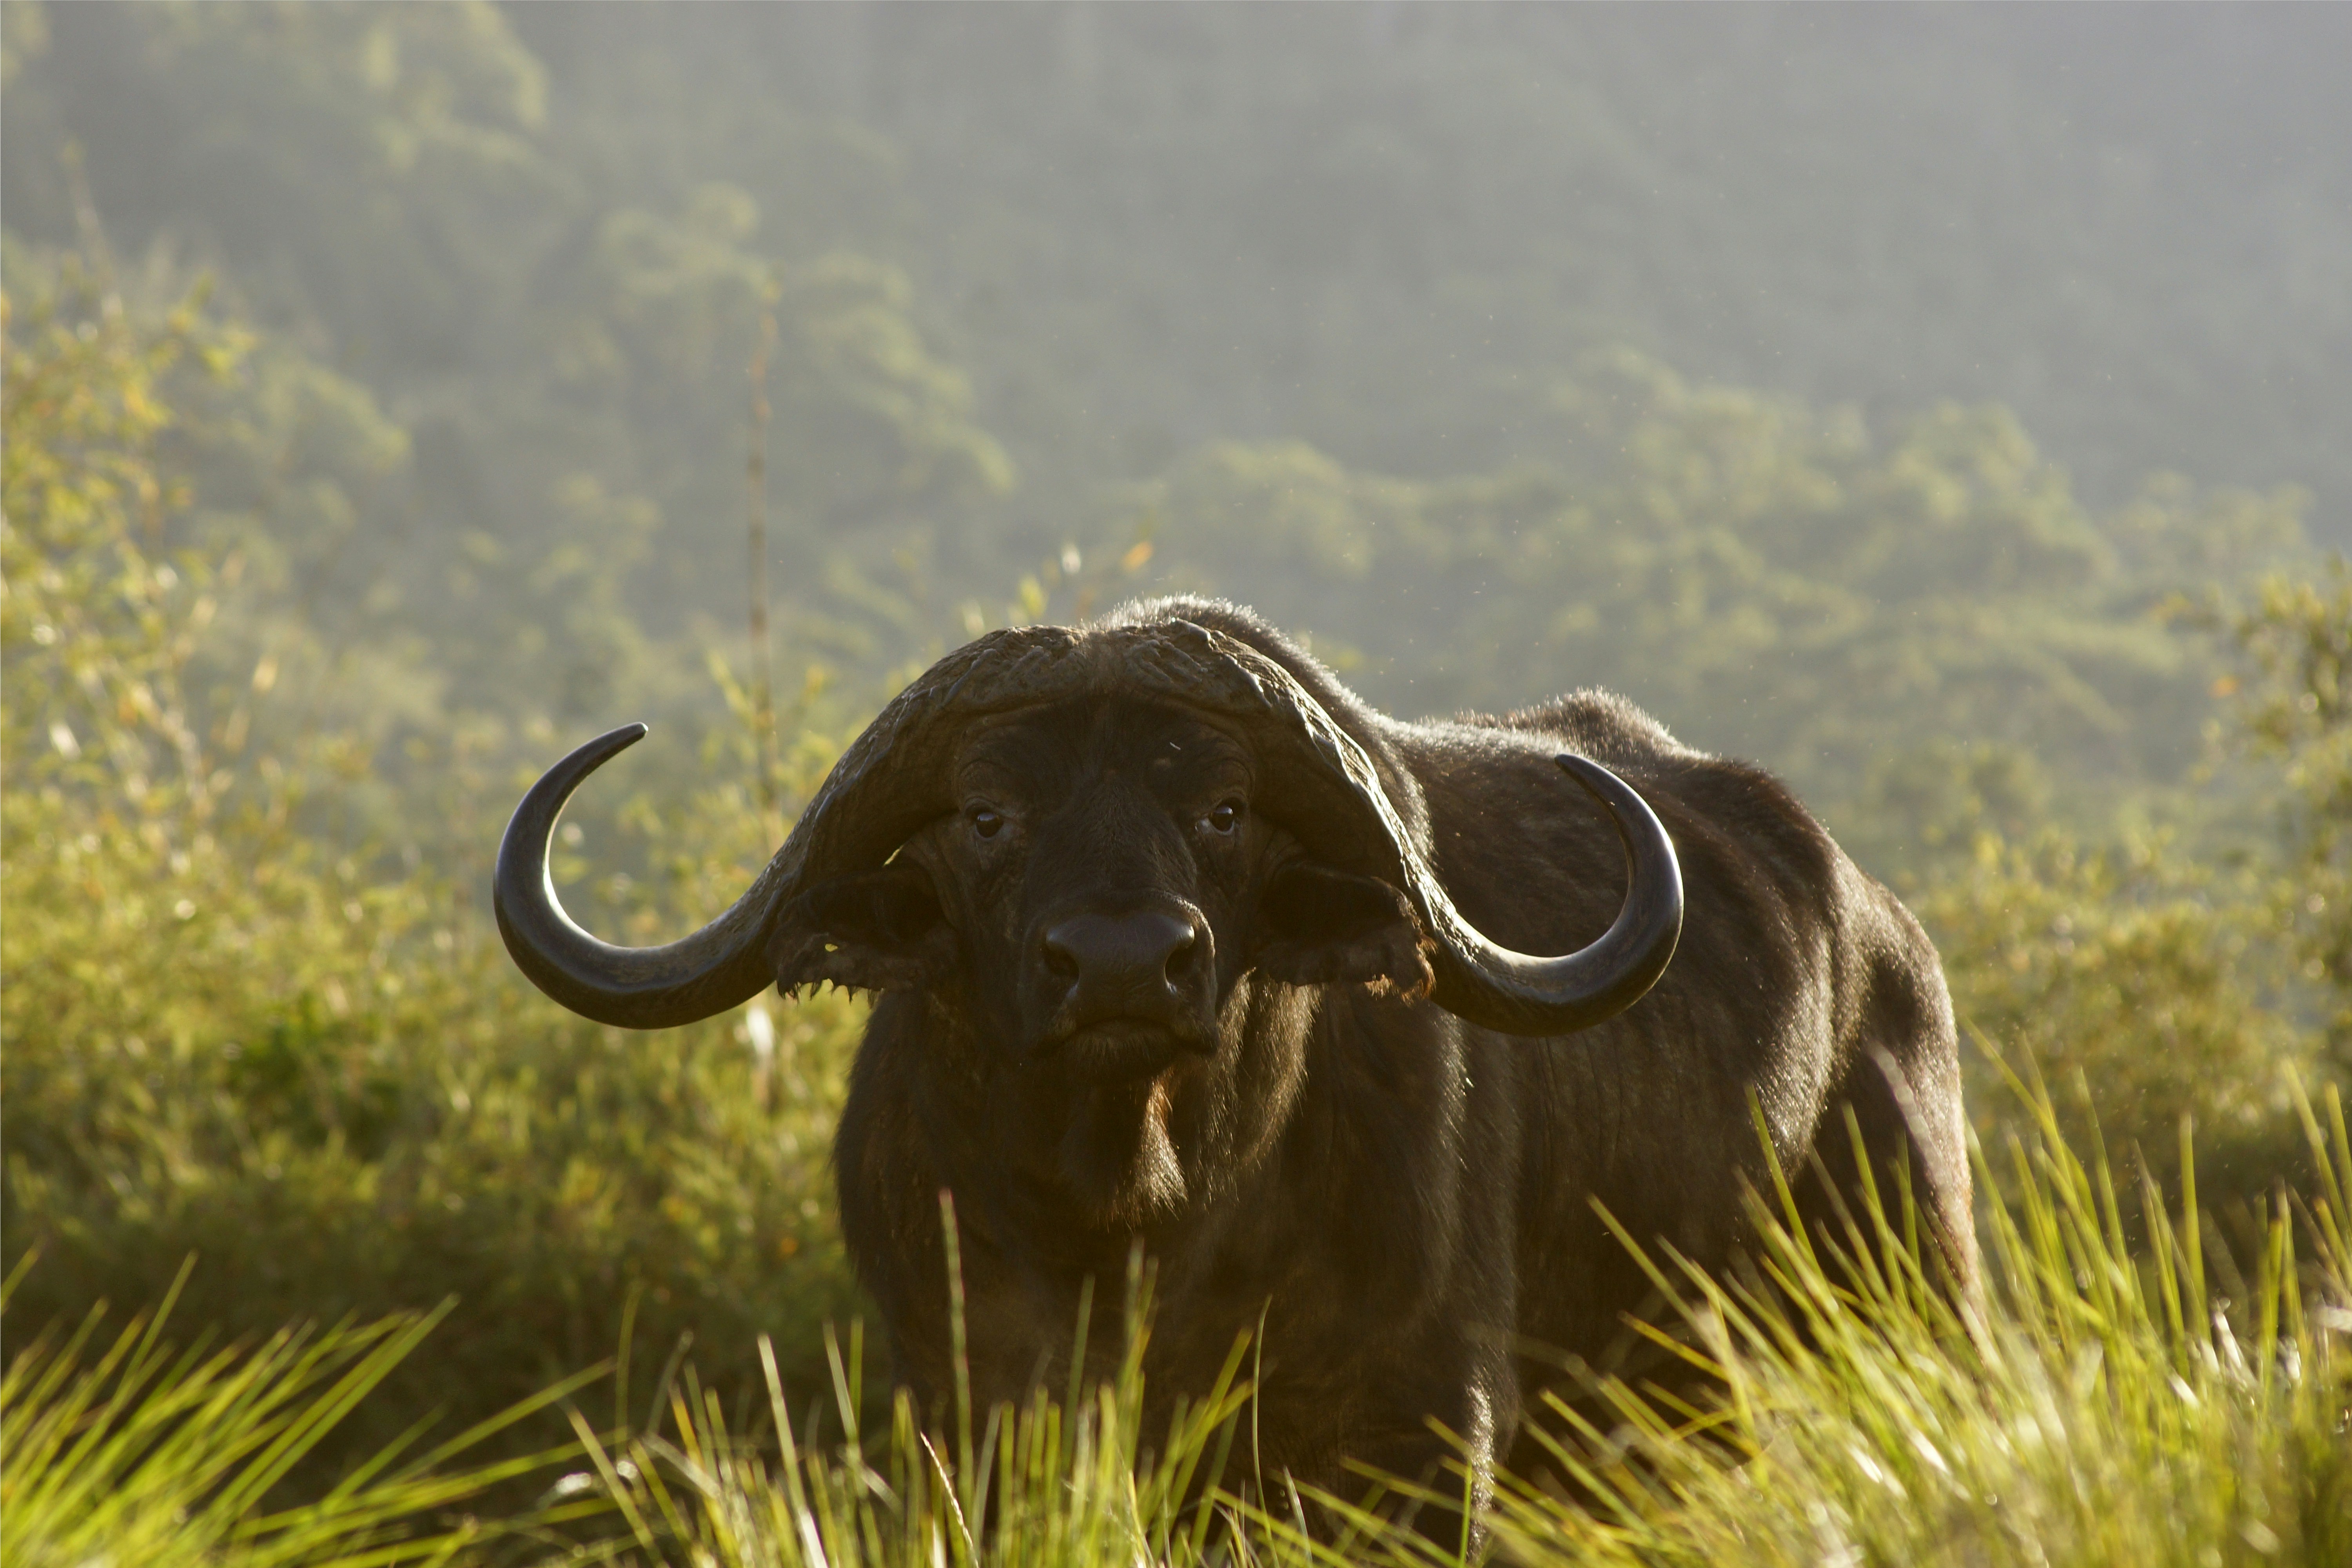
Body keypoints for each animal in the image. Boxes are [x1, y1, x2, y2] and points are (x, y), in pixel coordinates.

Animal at [496, 597, 1975, 1526]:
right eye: (986, 813)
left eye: (1220, 808)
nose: (1122, 964)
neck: (1132, 1226)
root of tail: (1884, 940)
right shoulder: (966, 1408)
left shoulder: (1418, 1440)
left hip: (1910, 1300)